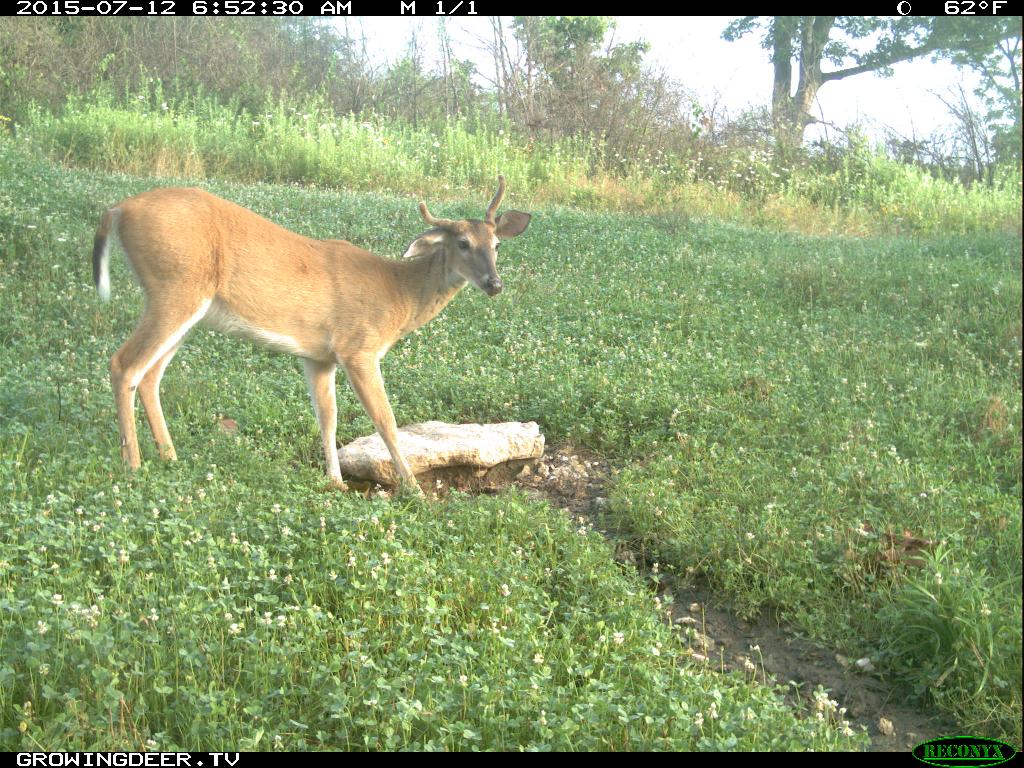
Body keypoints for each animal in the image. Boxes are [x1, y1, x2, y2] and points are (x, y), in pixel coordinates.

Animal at [92, 176, 531, 494]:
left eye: (496, 244)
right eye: (463, 243)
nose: (494, 284)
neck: (396, 291)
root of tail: (117, 209)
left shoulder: (319, 355)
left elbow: (328, 418)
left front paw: (335, 482)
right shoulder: (358, 347)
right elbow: (385, 419)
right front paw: (414, 490)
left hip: (187, 308)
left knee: (150, 374)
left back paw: (170, 457)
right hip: (175, 288)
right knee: (123, 364)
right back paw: (134, 466)